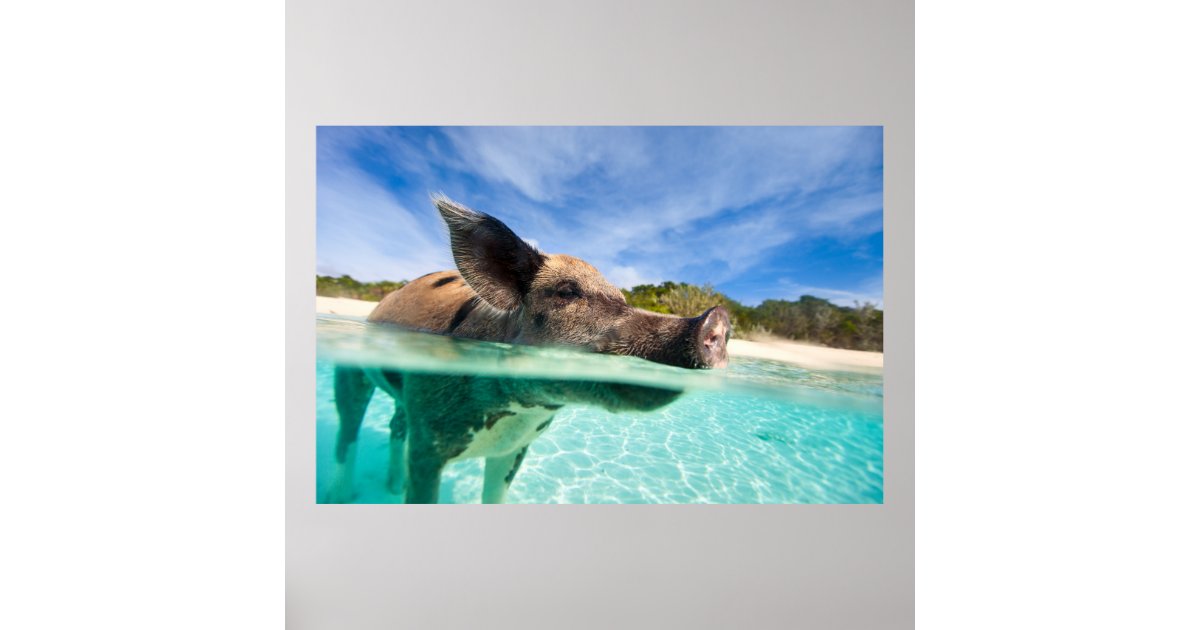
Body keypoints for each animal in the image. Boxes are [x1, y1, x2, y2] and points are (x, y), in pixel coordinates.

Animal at [326, 196, 730, 504]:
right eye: (567, 291)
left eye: (622, 299)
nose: (716, 320)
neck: (518, 411)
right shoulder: (427, 441)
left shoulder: (514, 448)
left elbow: (495, 496)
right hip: (351, 373)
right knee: (348, 430)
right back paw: (342, 496)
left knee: (395, 425)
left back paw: (391, 488)